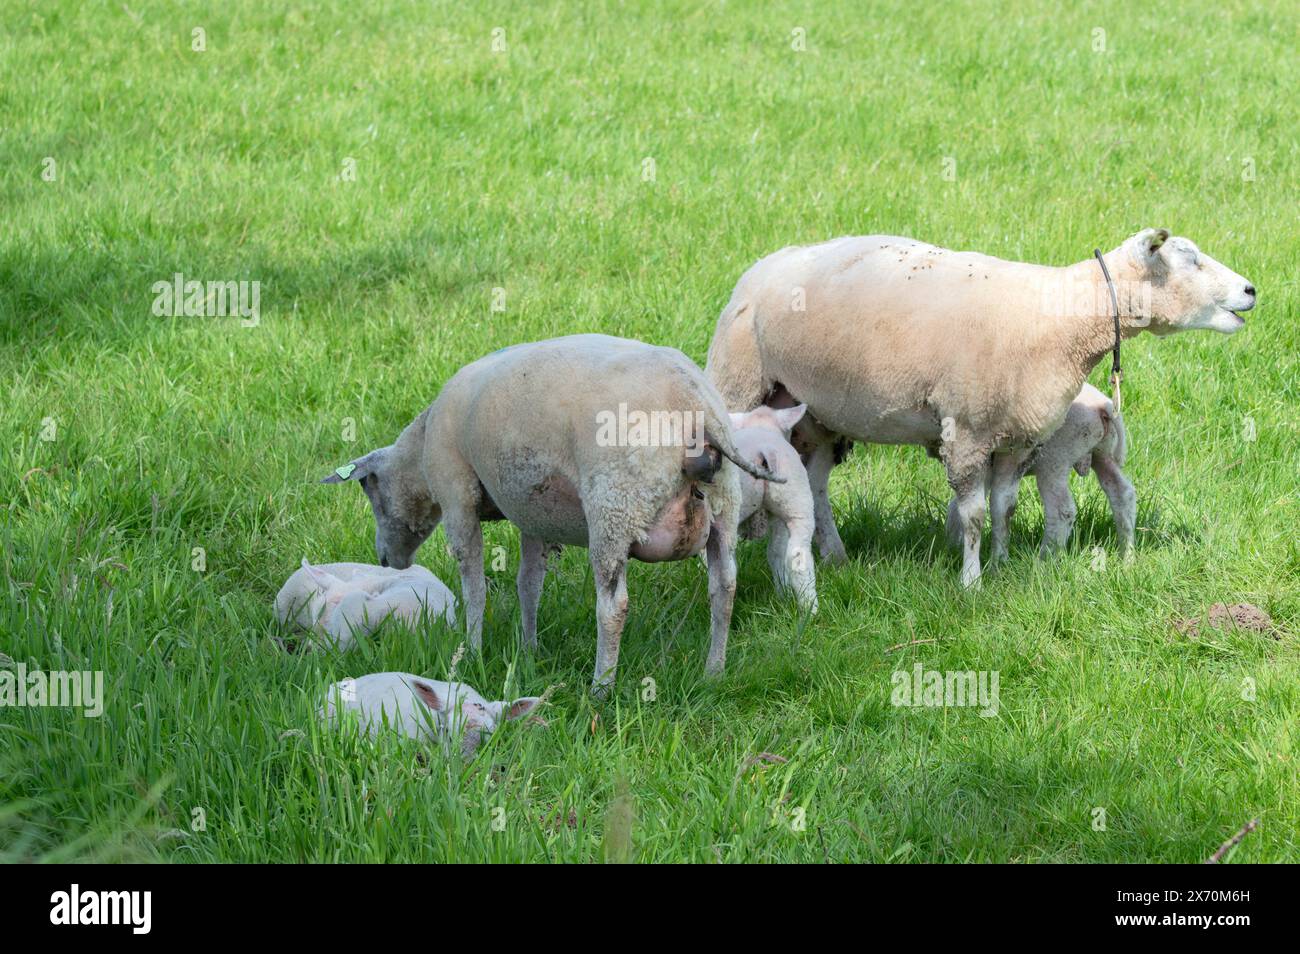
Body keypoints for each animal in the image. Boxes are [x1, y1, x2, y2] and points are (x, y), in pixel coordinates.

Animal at [322, 334, 780, 694]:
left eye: (369, 489)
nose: (385, 559)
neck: (419, 454)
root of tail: (695, 402)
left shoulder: (456, 495)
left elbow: (475, 588)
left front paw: (471, 650)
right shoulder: (534, 513)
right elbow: (529, 585)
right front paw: (529, 650)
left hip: (614, 505)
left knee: (614, 606)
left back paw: (601, 687)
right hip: (724, 504)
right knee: (724, 587)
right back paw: (714, 672)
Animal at [728, 404, 818, 613]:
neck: (762, 426)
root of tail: (764, 449)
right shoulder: (778, 518)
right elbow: (776, 551)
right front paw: (783, 595)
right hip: (797, 501)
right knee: (798, 555)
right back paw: (809, 609)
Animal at [945, 383, 1136, 559]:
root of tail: (1102, 405)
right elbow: (958, 506)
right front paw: (953, 545)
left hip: (1055, 458)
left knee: (1061, 510)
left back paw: (1044, 560)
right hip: (1101, 453)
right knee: (1122, 493)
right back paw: (1126, 556)